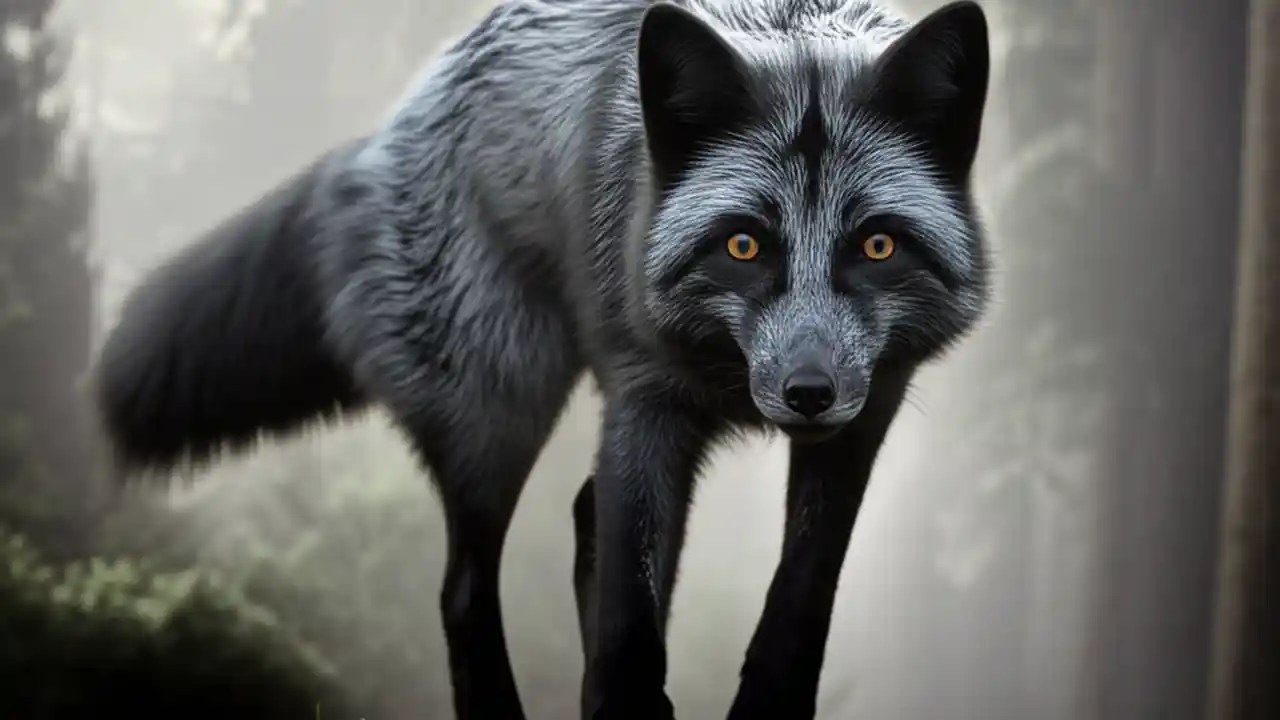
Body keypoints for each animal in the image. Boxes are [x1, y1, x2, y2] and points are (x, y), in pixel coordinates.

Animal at [94, 0, 991, 718]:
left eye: (877, 246)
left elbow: (798, 603)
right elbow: (629, 628)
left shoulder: (863, 418)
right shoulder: (643, 402)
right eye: (743, 245)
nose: (808, 392)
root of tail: (381, 140)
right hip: (498, 410)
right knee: (465, 588)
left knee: (584, 516)